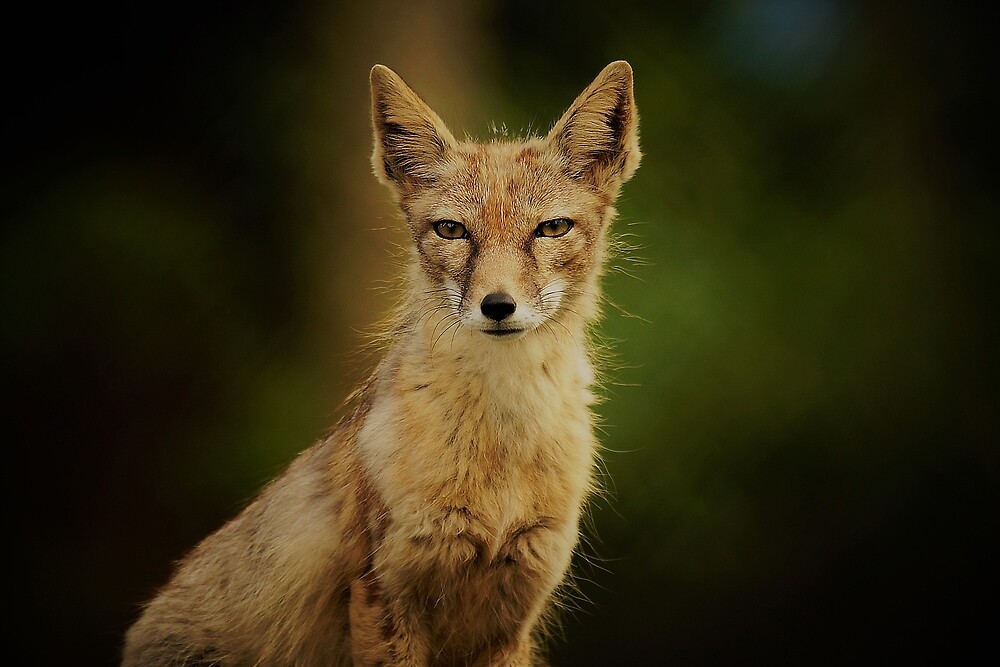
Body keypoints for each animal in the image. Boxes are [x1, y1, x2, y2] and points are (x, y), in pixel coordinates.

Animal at [122, 60, 641, 666]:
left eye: (551, 228)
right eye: (451, 230)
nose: (497, 306)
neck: (498, 463)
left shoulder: (514, 614)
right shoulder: (386, 594)